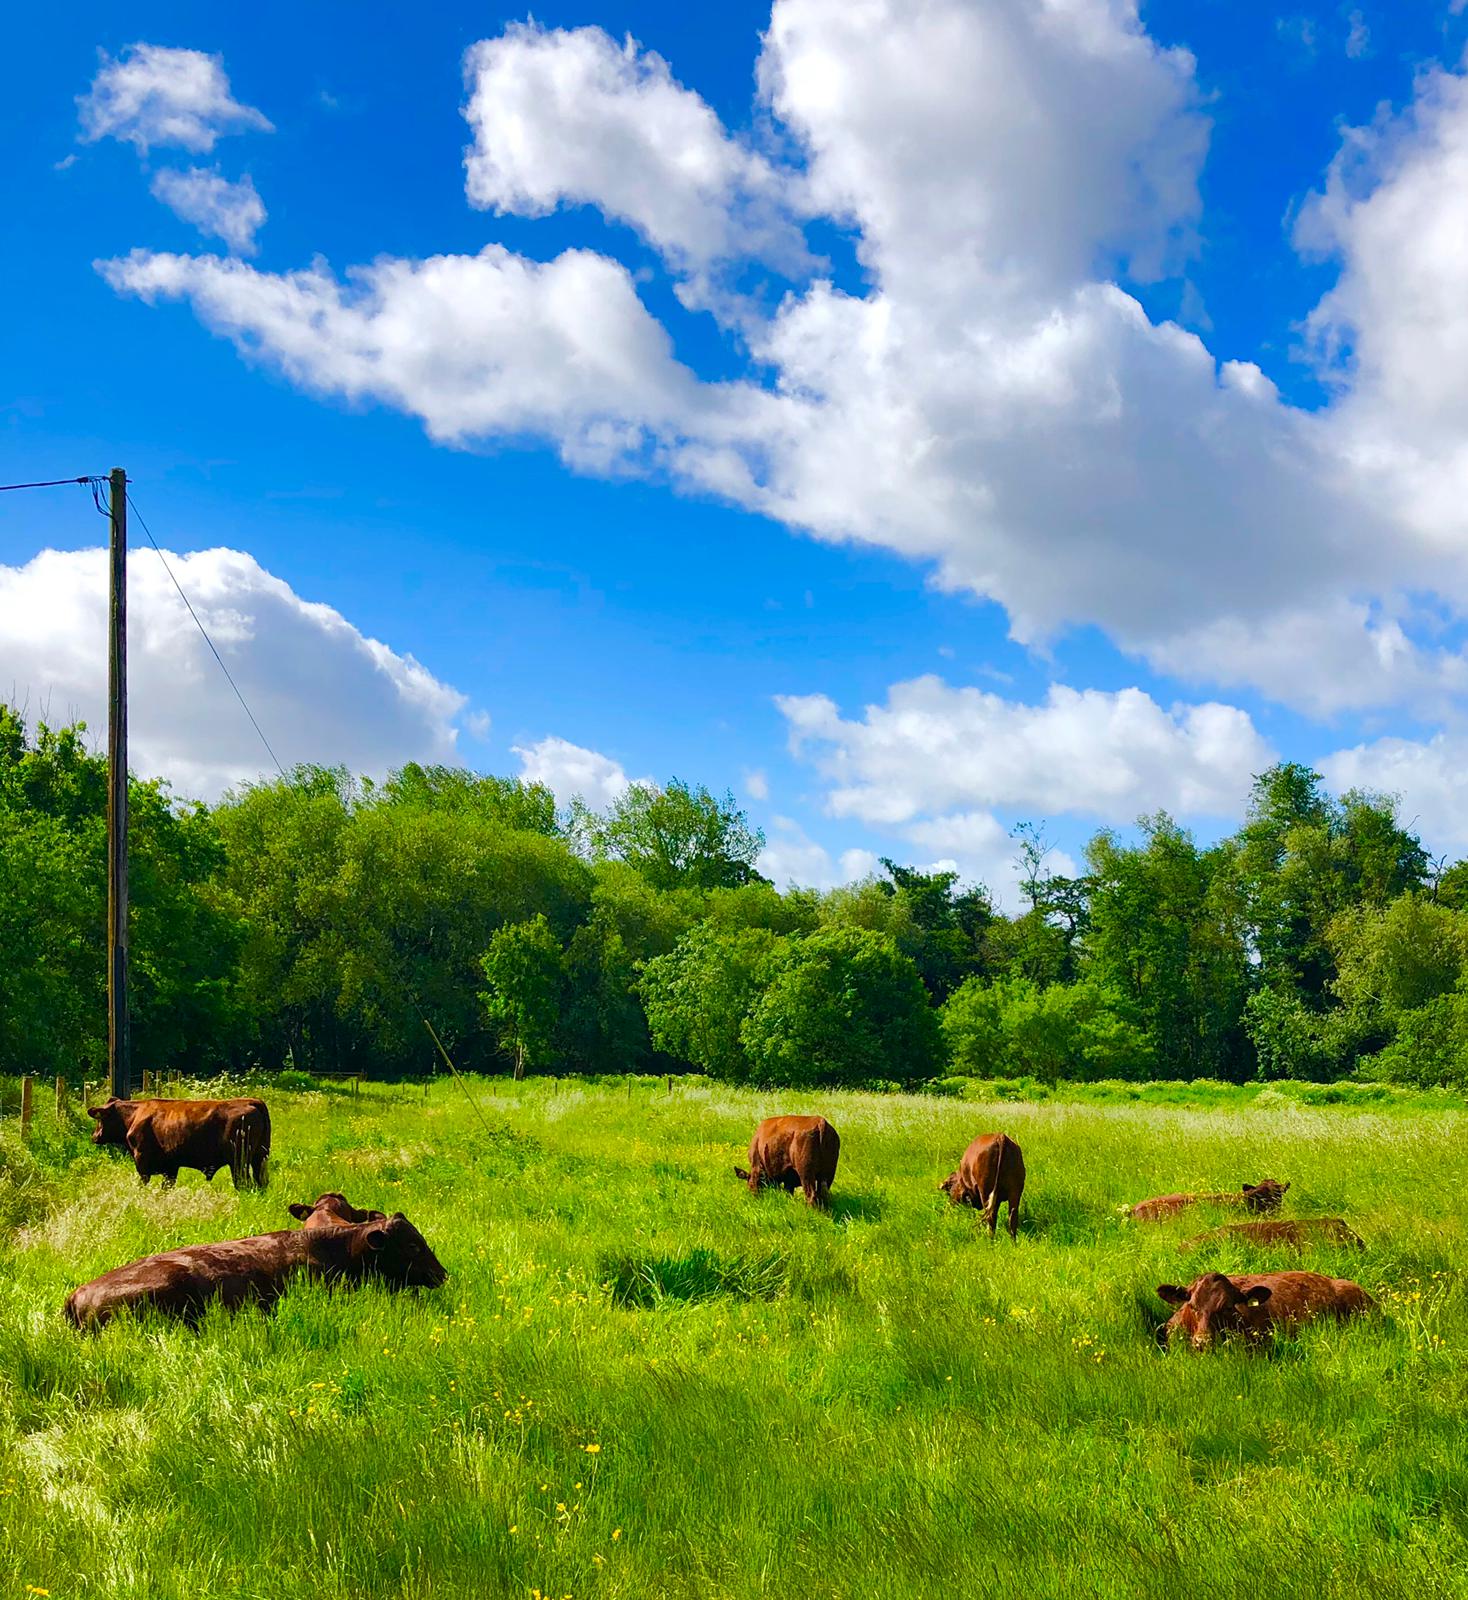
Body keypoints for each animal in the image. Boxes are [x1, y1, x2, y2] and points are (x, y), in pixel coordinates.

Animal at [88, 1096, 271, 1189]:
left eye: (100, 1119)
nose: (94, 1136)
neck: (134, 1115)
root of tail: (251, 1101)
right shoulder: (171, 1167)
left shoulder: (142, 1161)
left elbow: (143, 1183)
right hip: (259, 1157)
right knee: (260, 1181)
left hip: (239, 1161)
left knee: (244, 1183)